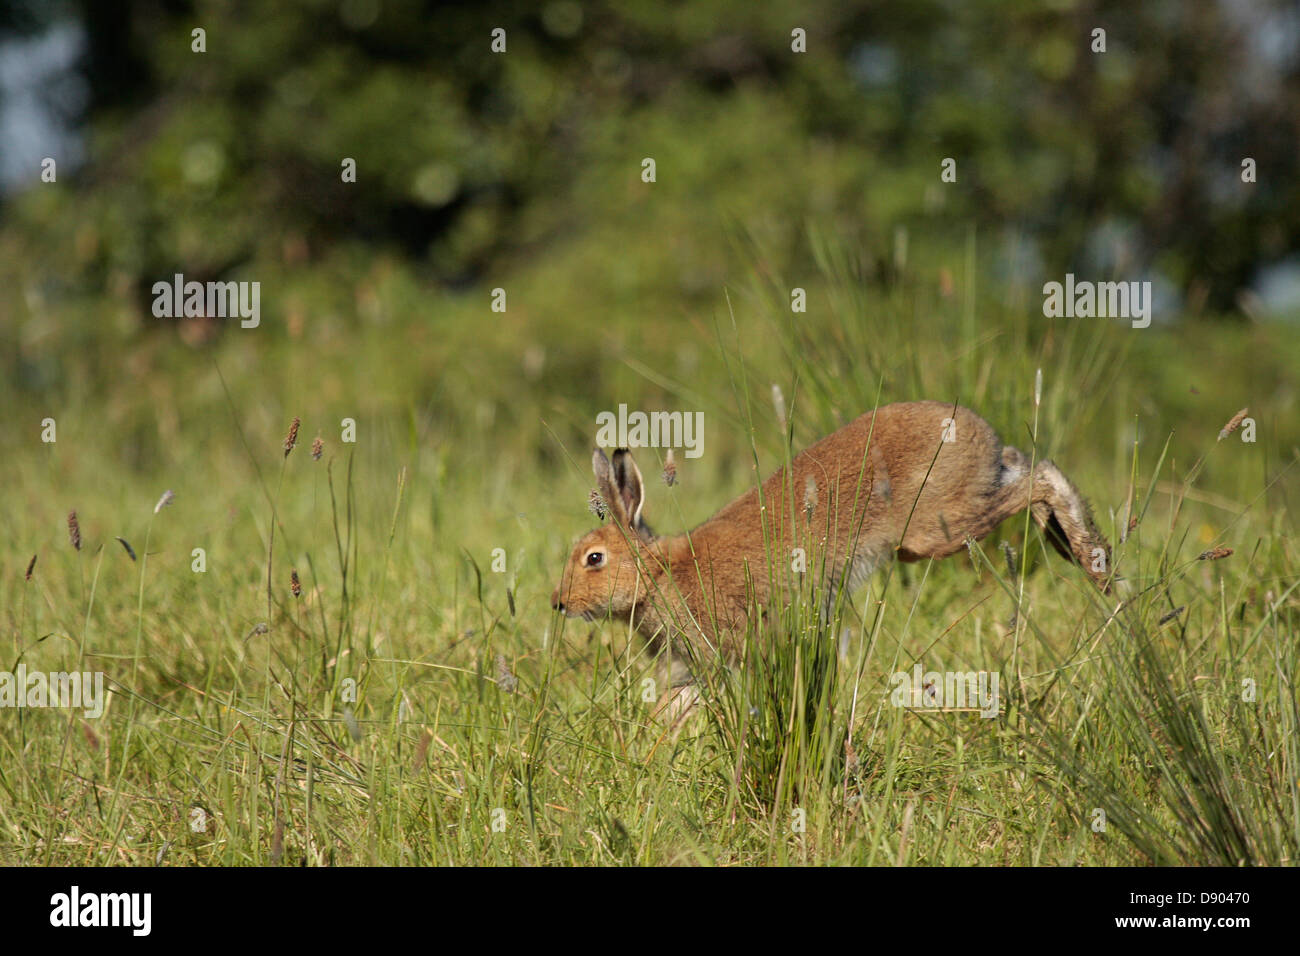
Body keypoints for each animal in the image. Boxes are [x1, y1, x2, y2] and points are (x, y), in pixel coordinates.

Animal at [551, 400, 1112, 705]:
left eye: (594, 559)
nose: (559, 603)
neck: (657, 575)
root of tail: (977, 429)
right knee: (1025, 466)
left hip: (936, 529)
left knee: (1042, 476)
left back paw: (1094, 562)